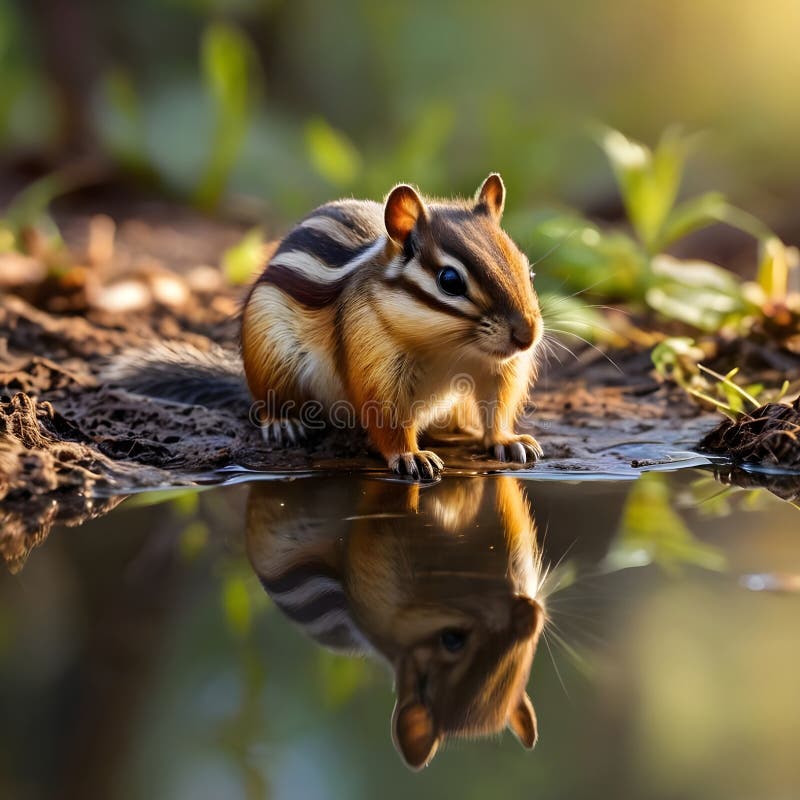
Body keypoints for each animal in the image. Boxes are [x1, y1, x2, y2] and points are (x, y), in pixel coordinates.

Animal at [107, 174, 542, 480]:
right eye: (450, 281)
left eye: (526, 267)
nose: (527, 336)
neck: (450, 347)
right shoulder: (373, 353)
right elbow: (384, 413)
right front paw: (410, 455)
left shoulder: (497, 368)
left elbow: (497, 406)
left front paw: (507, 441)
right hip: (268, 355)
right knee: (270, 399)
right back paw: (283, 423)